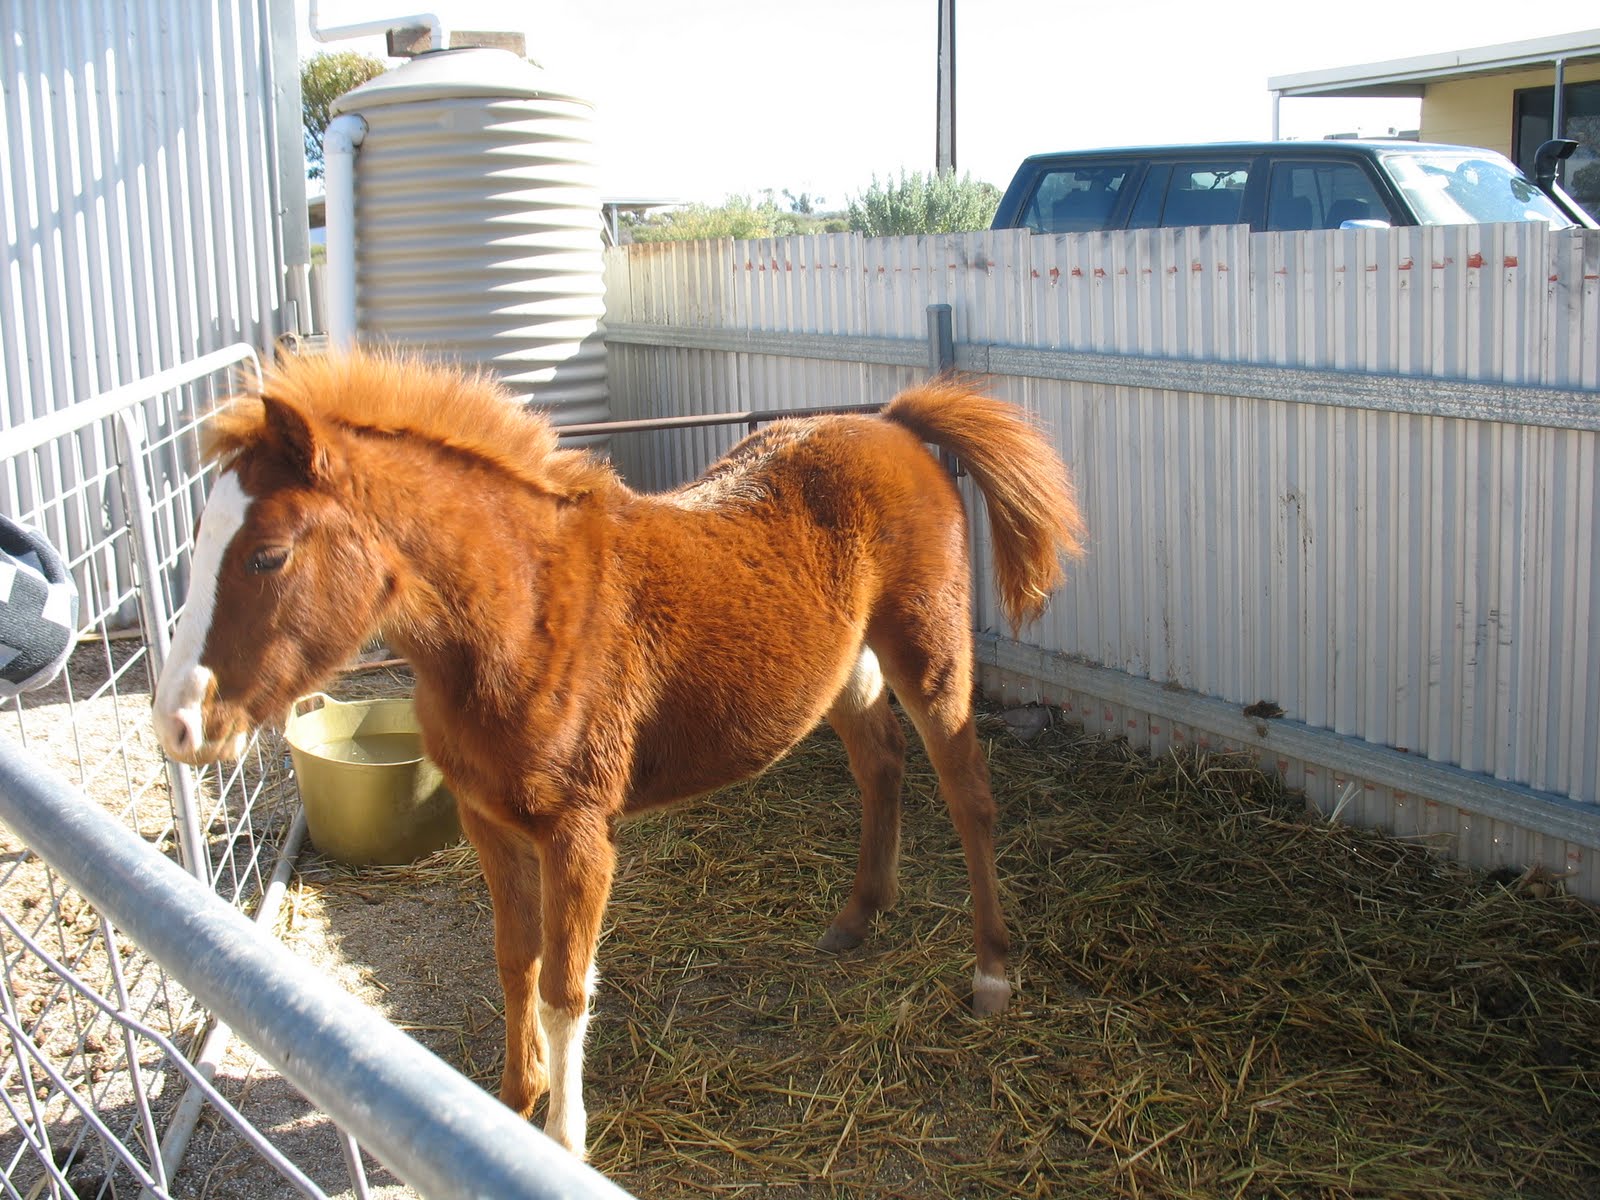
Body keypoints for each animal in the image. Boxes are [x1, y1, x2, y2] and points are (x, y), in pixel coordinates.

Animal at [151, 350, 1086, 1157]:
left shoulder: (578, 834)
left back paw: (992, 974)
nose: (178, 725)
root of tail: (890, 423)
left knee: (968, 795)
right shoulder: (487, 822)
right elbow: (514, 962)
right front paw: (509, 1103)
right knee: (879, 764)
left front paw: (564, 1140)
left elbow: (567, 988)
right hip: (845, 671)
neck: (523, 619)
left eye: (268, 555)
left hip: (928, 653)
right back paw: (857, 916)